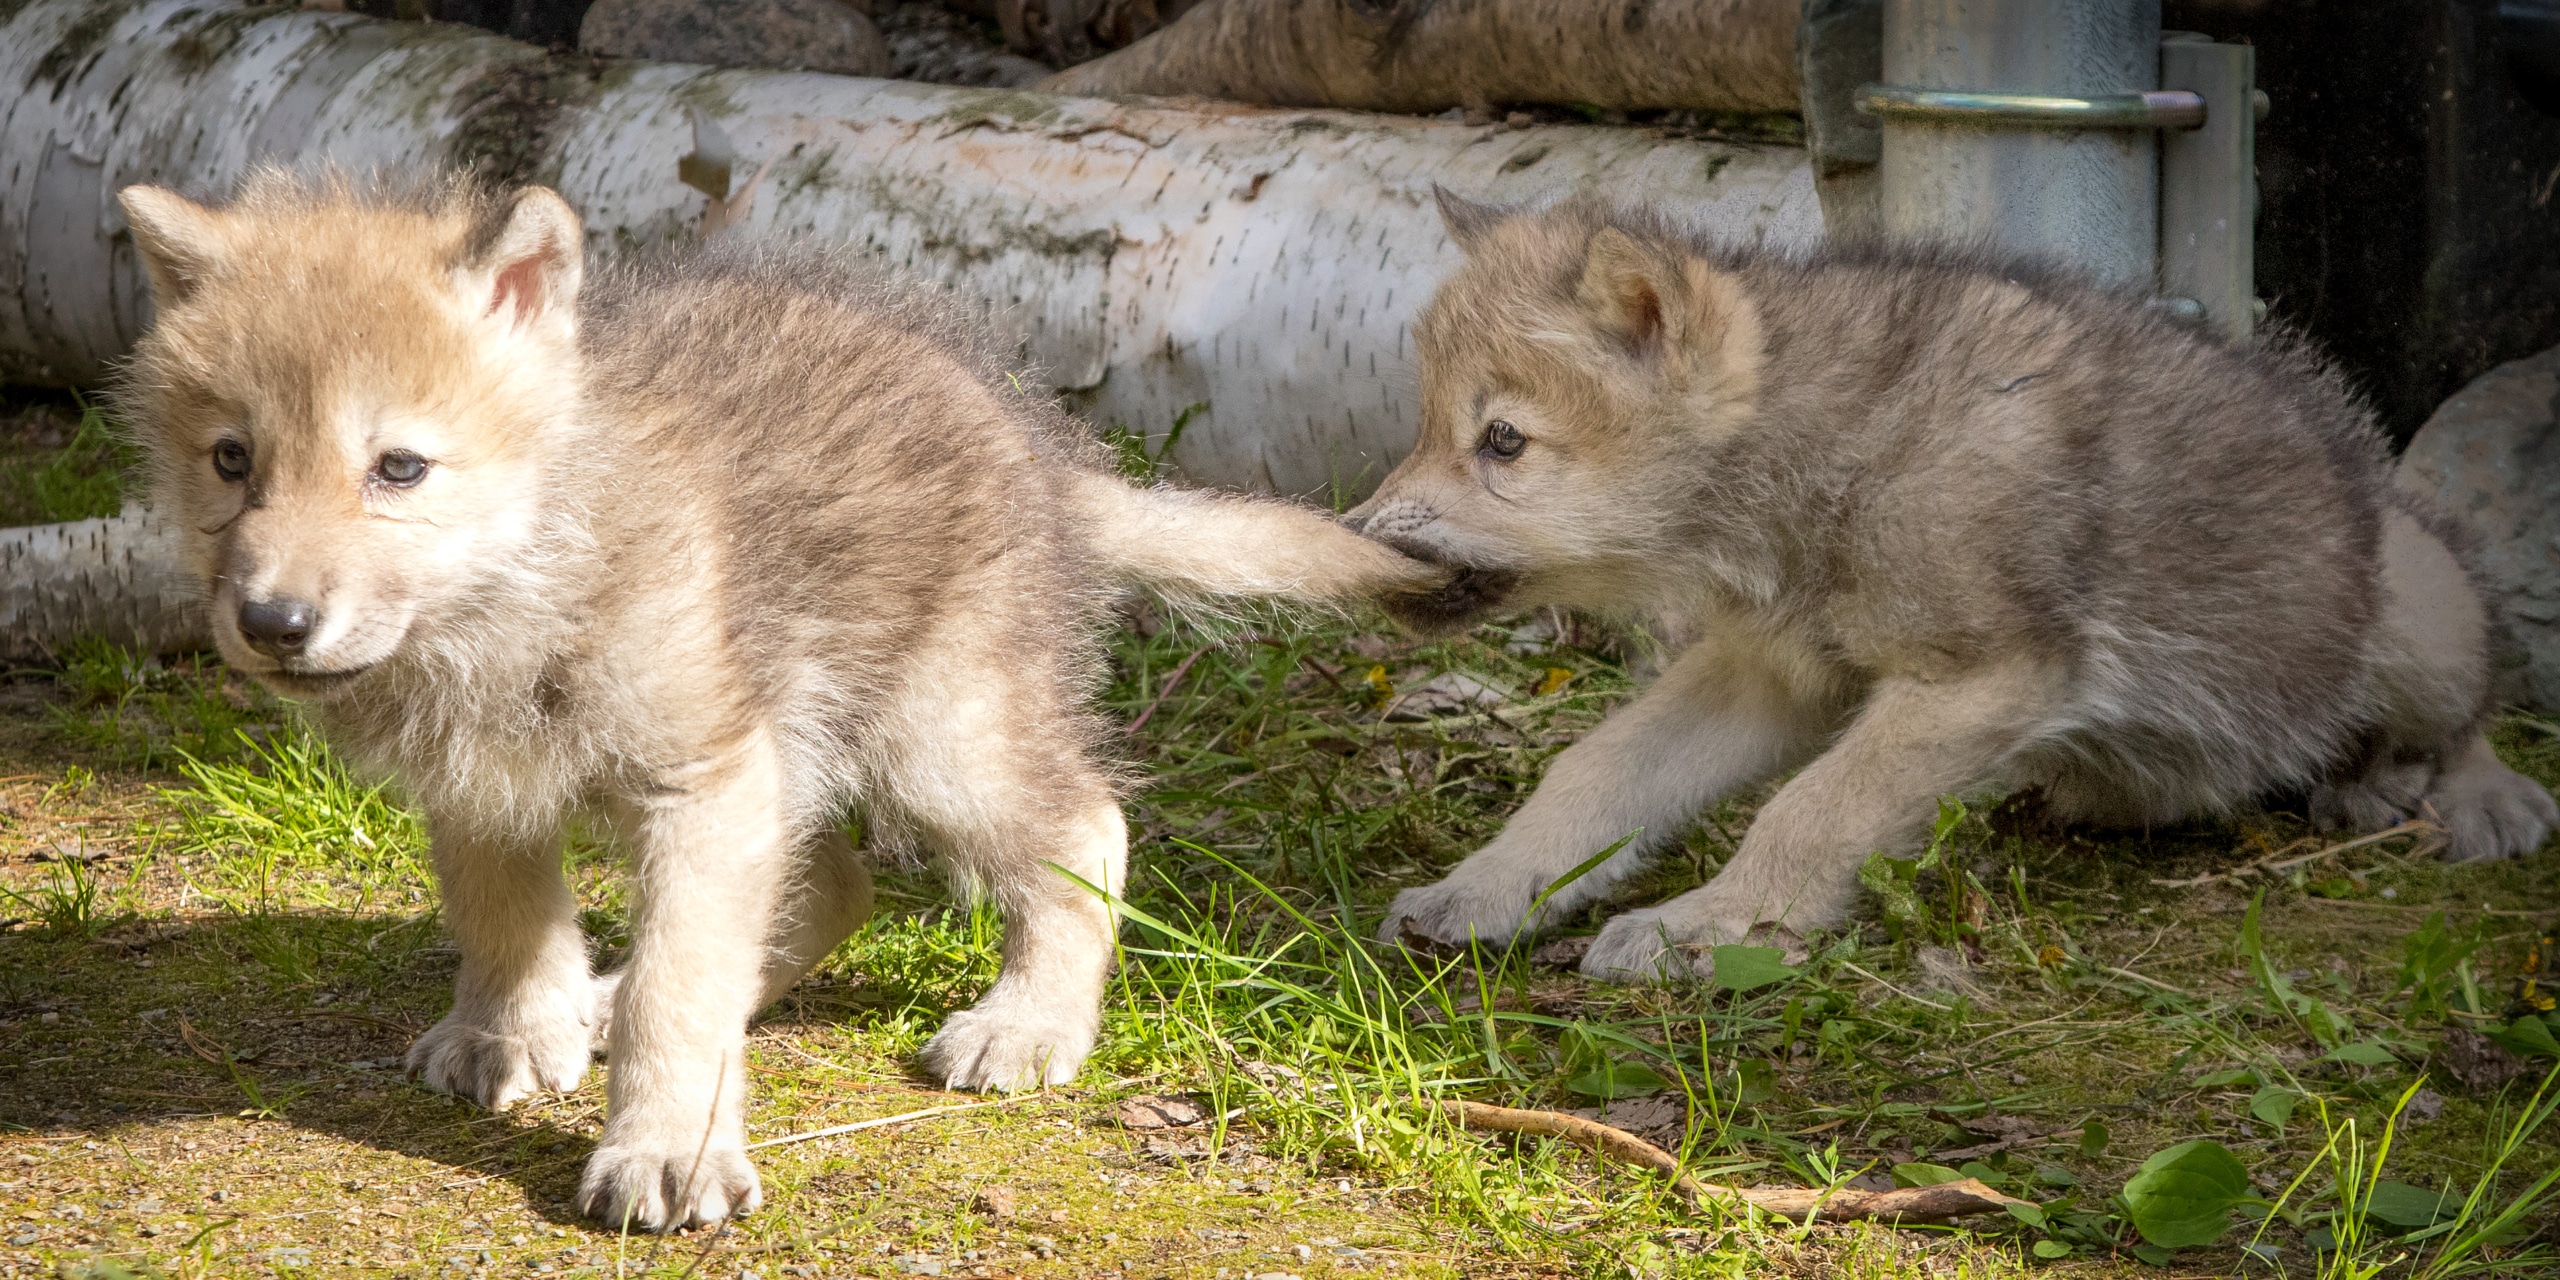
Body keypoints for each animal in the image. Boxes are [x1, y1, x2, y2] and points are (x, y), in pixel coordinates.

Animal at [112, 172, 1445, 1231]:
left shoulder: (706, 777)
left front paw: (667, 1147)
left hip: (938, 737)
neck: (524, 577)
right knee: (841, 879)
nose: (273, 623)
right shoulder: (484, 784)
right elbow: (507, 915)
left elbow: (681, 981)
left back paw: (1028, 1025)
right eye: (231, 460)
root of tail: (1046, 453)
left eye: (399, 467)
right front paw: (516, 1031)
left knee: (1086, 825)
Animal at [1360, 193, 2557, 983]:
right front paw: (1489, 885)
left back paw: (2473, 796)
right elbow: (1596, 768)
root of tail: (2362, 473)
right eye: (1422, 426)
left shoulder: (1982, 676)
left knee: (2472, 699)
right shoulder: (1766, 673)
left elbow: (1812, 809)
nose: (1360, 532)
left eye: (1502, 441)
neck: (1826, 457)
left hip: (2412, 613)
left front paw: (1712, 927)